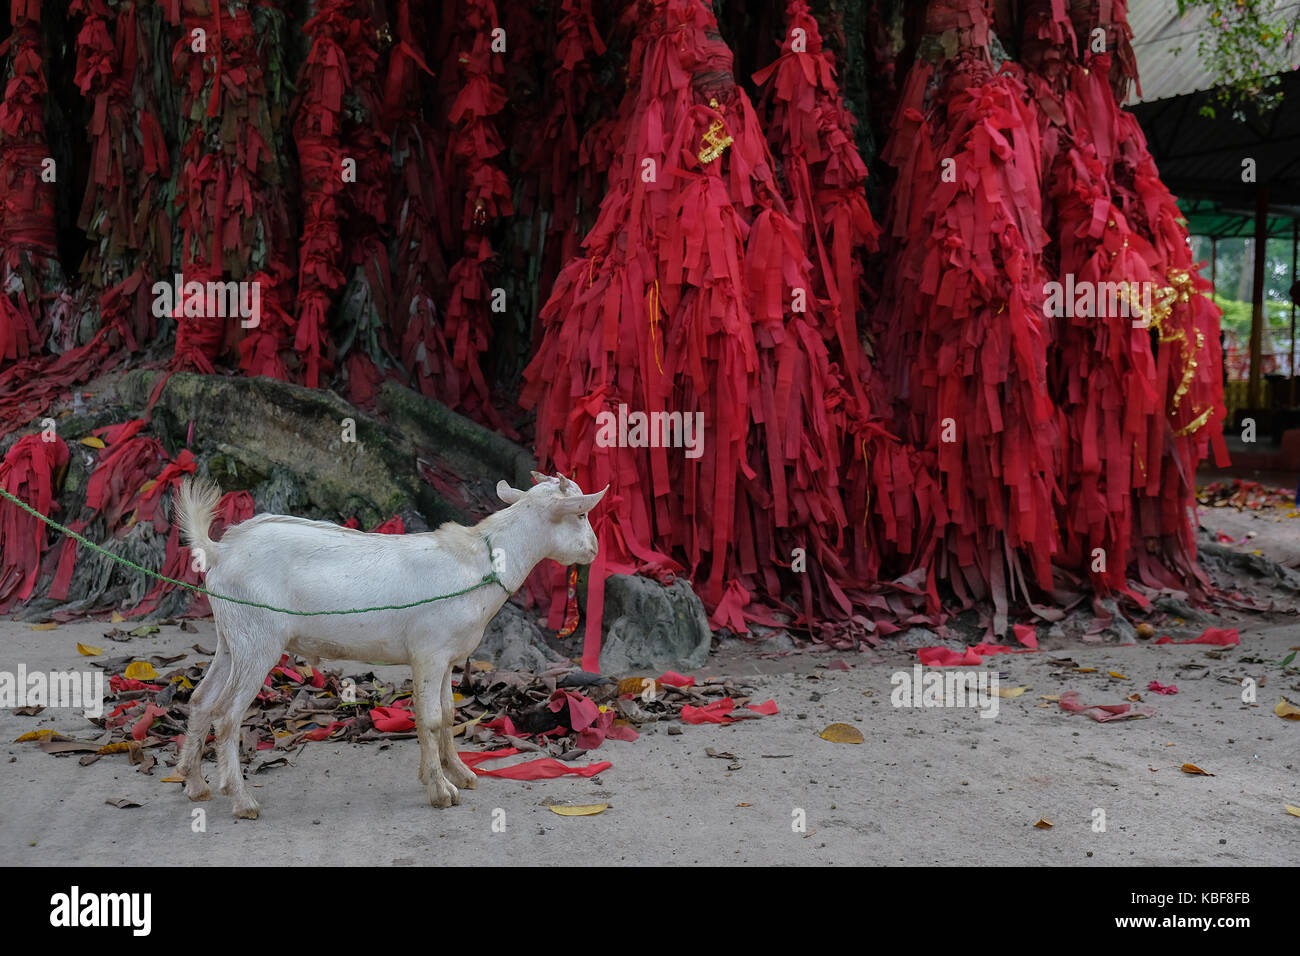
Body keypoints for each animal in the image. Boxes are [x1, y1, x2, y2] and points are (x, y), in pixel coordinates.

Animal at [171, 472, 607, 818]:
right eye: (581, 514)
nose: (594, 549)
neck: (478, 562)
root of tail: (218, 551)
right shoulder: (429, 654)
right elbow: (430, 718)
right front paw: (440, 791)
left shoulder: (446, 657)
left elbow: (449, 714)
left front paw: (459, 773)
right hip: (259, 640)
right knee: (227, 715)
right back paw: (242, 800)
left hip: (233, 637)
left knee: (201, 700)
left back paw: (194, 783)